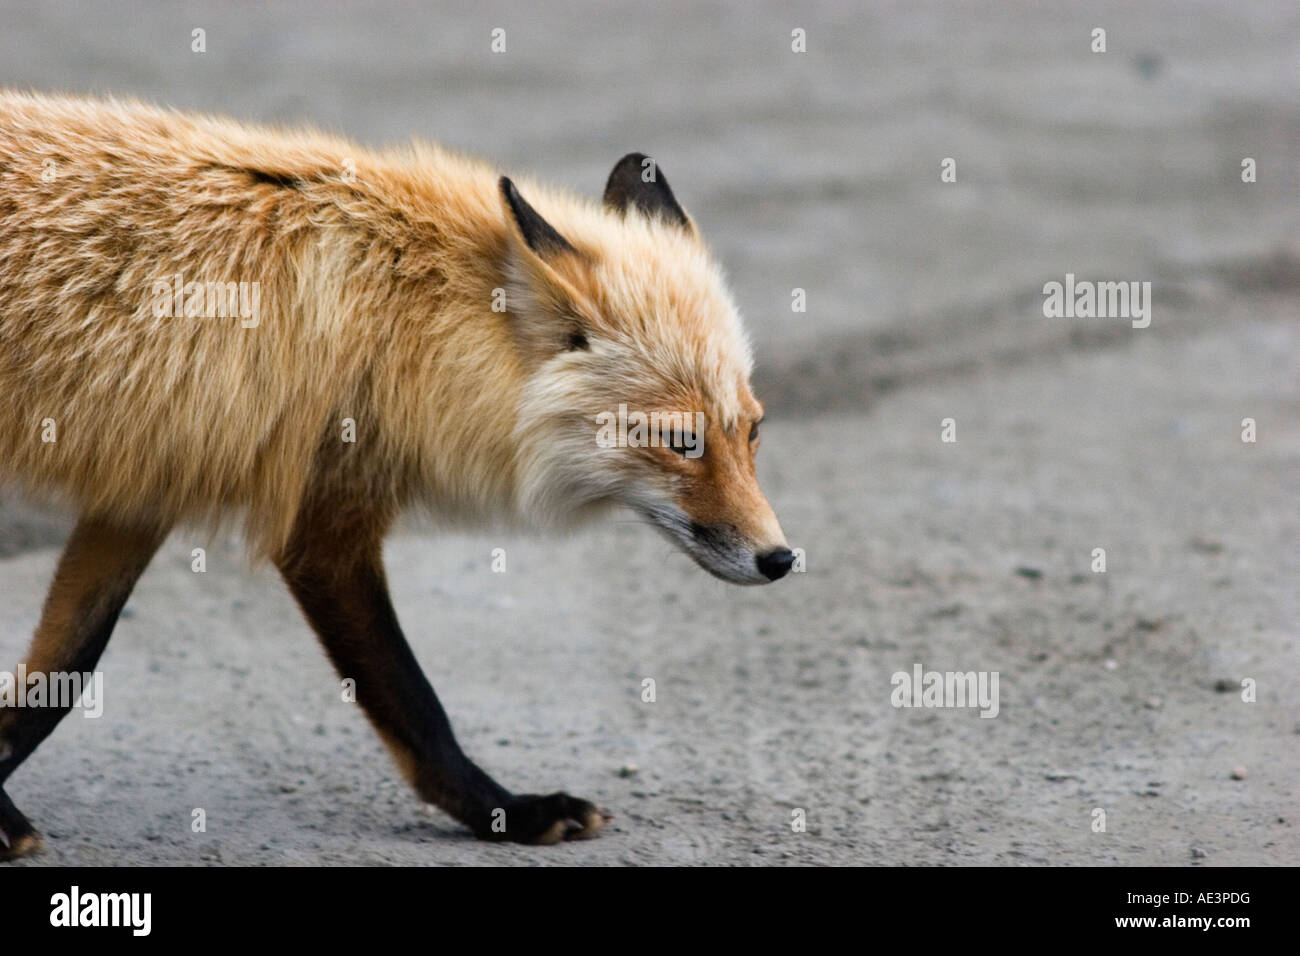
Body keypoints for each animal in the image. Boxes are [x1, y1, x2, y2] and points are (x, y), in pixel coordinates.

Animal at [0, 91, 793, 856]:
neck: (403, 313)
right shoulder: (324, 524)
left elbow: (64, 671)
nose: (781, 559)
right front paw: (506, 813)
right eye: (681, 441)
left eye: (752, 430)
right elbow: (415, 704)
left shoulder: (144, 488)